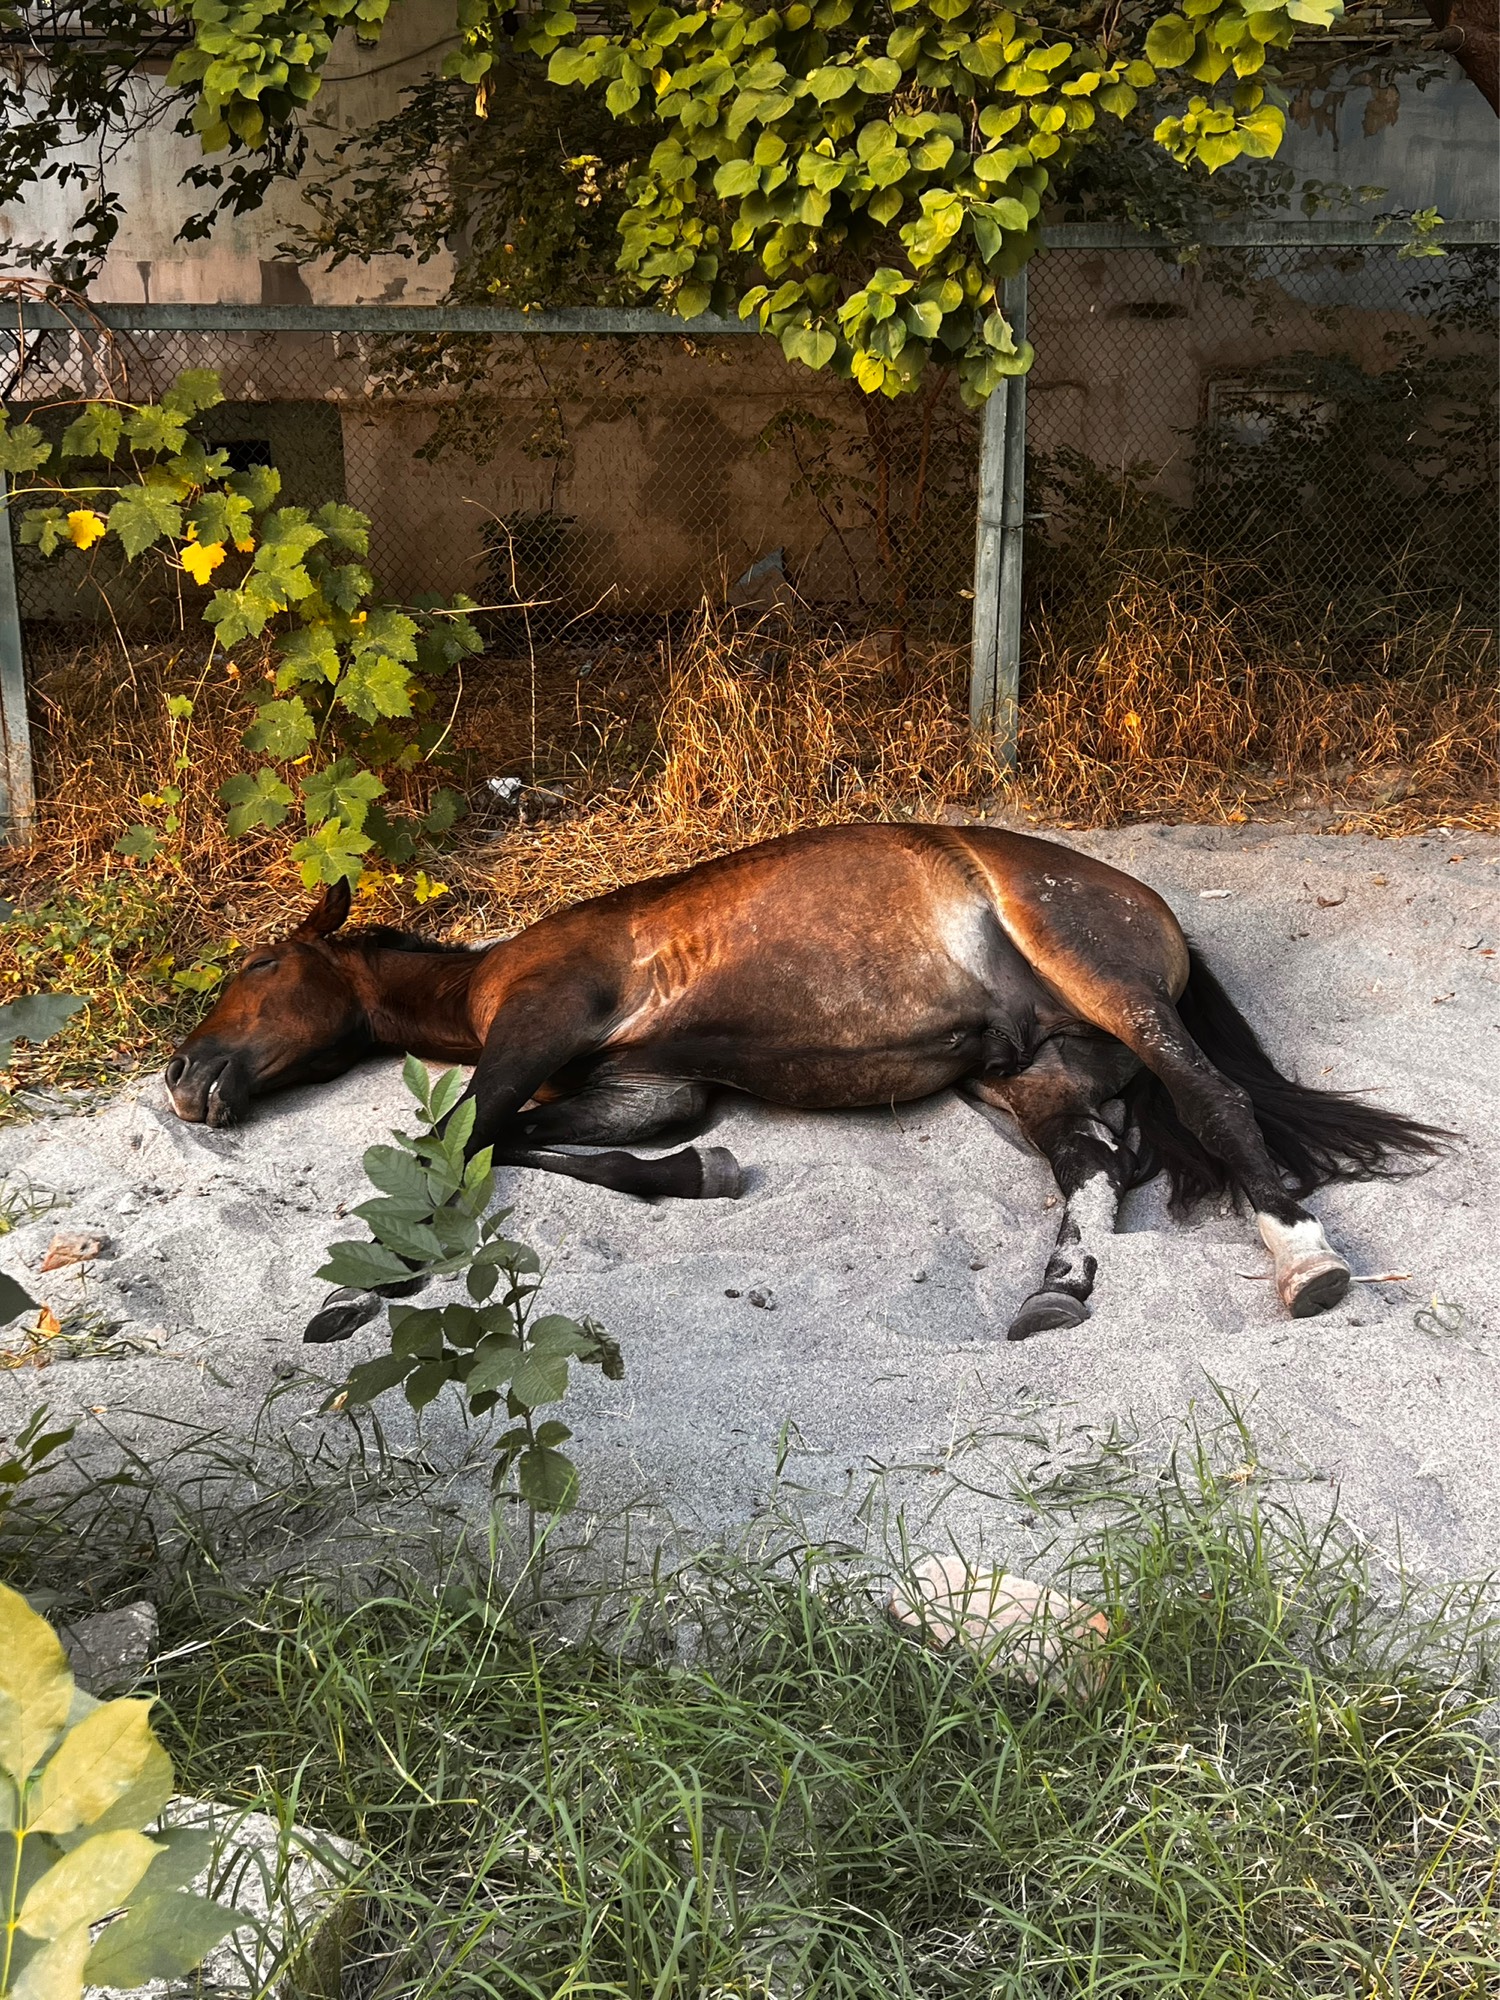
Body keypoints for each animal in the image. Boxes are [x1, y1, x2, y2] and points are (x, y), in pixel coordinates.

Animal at [164, 820, 1448, 1352]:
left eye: (260, 968)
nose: (182, 1075)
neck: (491, 974)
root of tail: (1153, 905)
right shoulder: (649, 1084)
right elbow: (527, 1143)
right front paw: (703, 1170)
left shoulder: (534, 1029)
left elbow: (460, 1145)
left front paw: (355, 1301)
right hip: (1026, 1070)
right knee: (1096, 1168)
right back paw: (1058, 1291)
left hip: (1098, 977)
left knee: (1216, 1110)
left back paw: (1308, 1262)